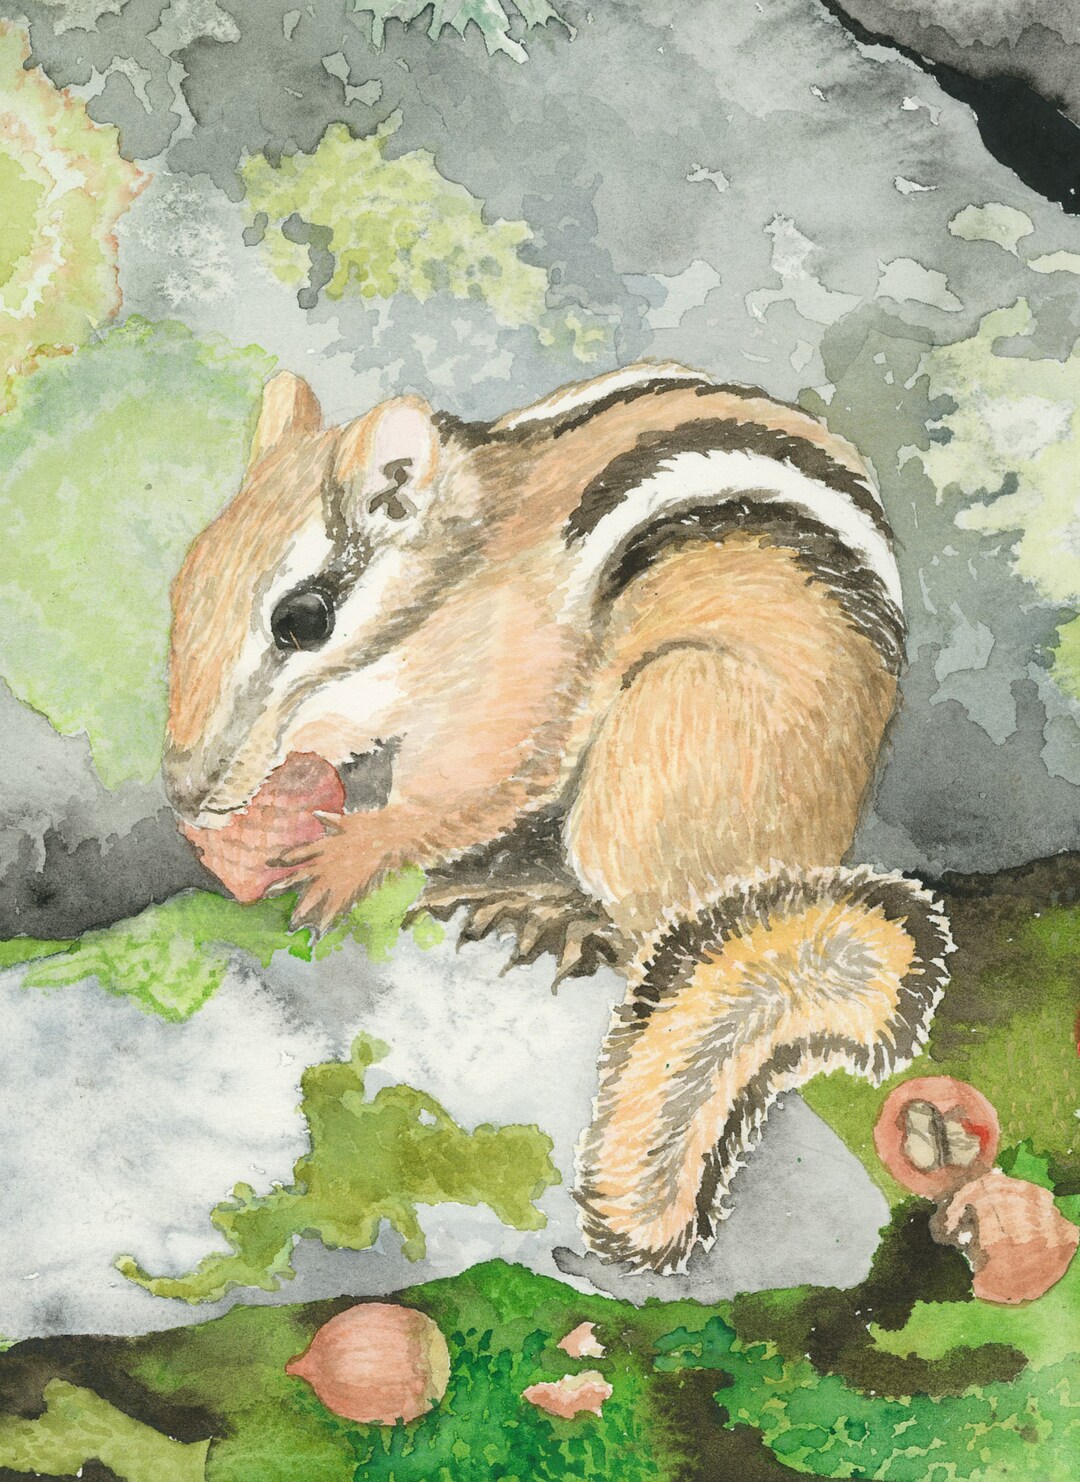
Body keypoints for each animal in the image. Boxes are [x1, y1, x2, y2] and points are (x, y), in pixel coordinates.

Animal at [165, 361, 953, 1273]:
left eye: (302, 618)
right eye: (184, 581)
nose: (180, 791)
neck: (453, 587)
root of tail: (817, 850)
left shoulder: (513, 692)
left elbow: (470, 785)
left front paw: (352, 852)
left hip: (664, 742)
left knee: (641, 922)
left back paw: (557, 908)